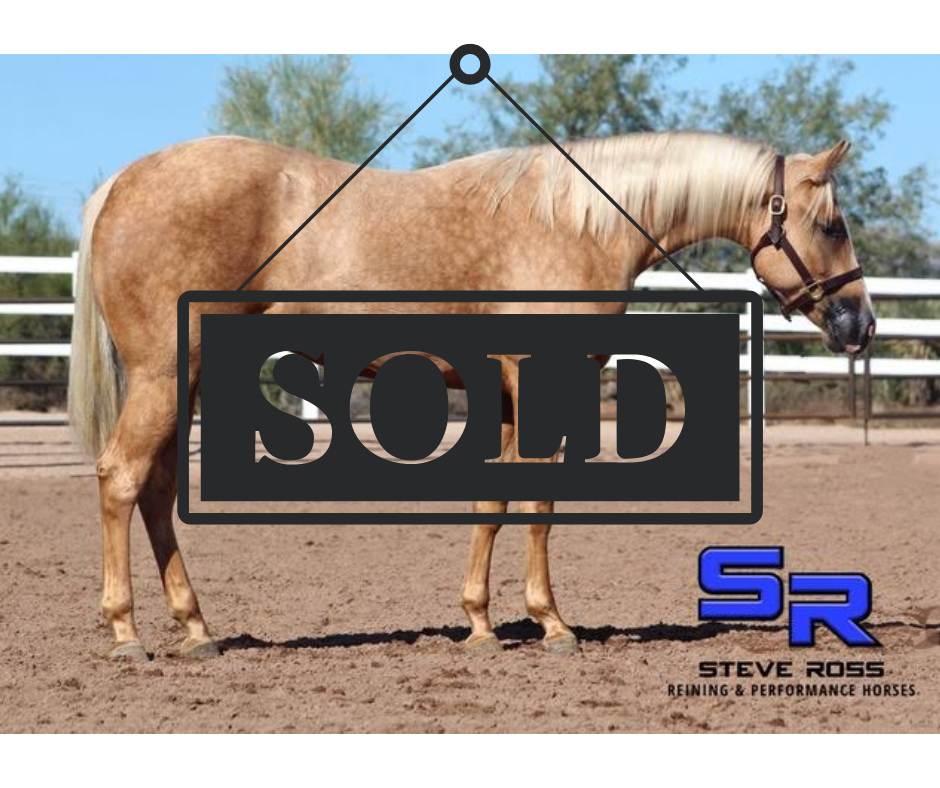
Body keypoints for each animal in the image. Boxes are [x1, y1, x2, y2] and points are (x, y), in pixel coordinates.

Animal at [67, 131, 875, 661]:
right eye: (831, 224)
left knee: (157, 488)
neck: (576, 221)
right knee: (121, 478)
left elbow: (495, 498)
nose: (859, 323)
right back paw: (127, 632)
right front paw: (552, 624)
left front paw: (481, 624)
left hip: (186, 377)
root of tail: (122, 183)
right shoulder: (545, 382)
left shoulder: (508, 392)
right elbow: (540, 504)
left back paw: (195, 628)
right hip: (165, 375)